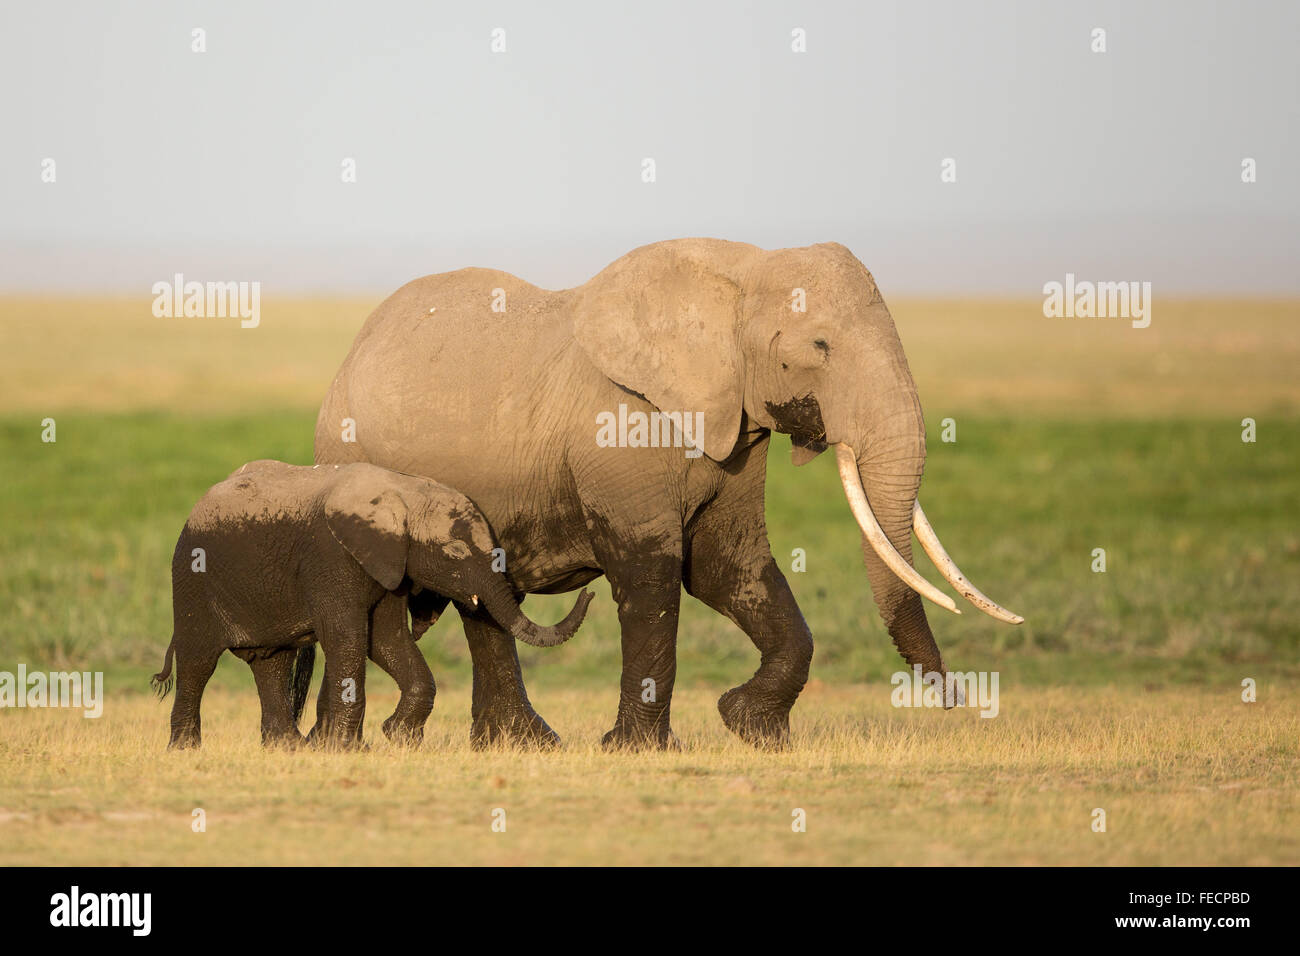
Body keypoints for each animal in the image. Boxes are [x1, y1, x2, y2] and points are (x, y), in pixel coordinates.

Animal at [151, 459, 593, 749]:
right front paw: (348, 749)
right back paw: (186, 750)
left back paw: (287, 748)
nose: (588, 591)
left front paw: (397, 737)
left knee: (273, 662)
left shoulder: (390, 566)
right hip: (191, 576)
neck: (405, 492)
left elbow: (384, 640)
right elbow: (347, 638)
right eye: (452, 552)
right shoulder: (331, 557)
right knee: (197, 662)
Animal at [308, 238, 1022, 750]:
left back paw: (523, 746)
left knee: (485, 598)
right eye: (820, 345)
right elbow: (648, 573)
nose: (958, 700)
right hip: (349, 453)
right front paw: (637, 749)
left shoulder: (735, 429)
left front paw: (751, 728)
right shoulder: (621, 423)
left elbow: (728, 567)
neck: (742, 270)